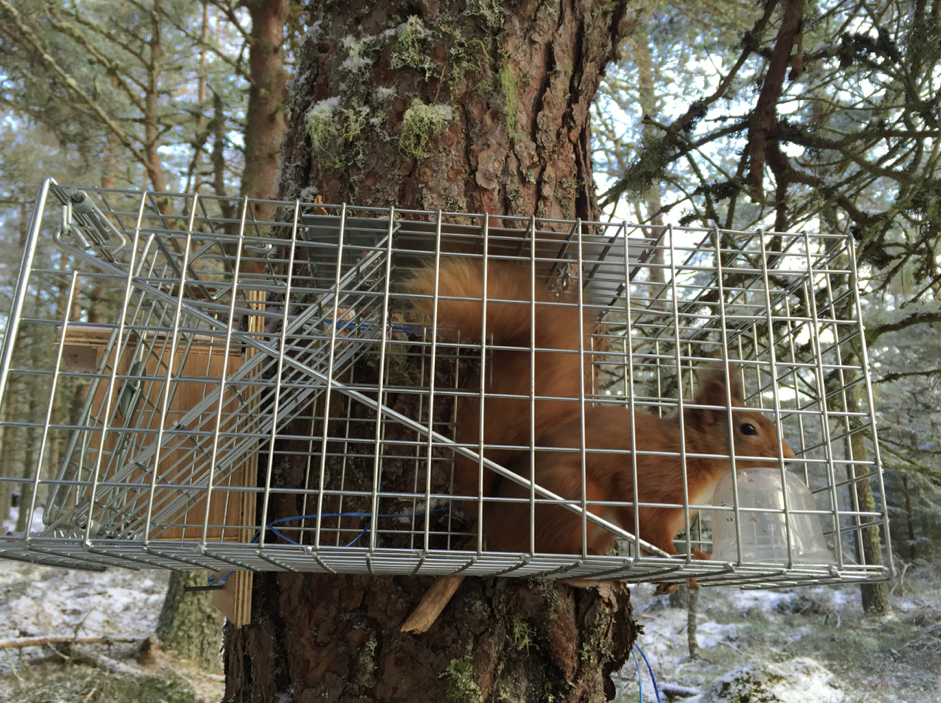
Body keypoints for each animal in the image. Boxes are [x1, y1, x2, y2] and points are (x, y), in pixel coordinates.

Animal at [406, 258, 794, 563]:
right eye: (748, 429)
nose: (790, 459)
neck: (693, 450)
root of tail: (491, 518)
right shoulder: (653, 481)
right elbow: (648, 525)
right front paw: (678, 557)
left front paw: (692, 556)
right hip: (575, 495)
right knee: (555, 552)